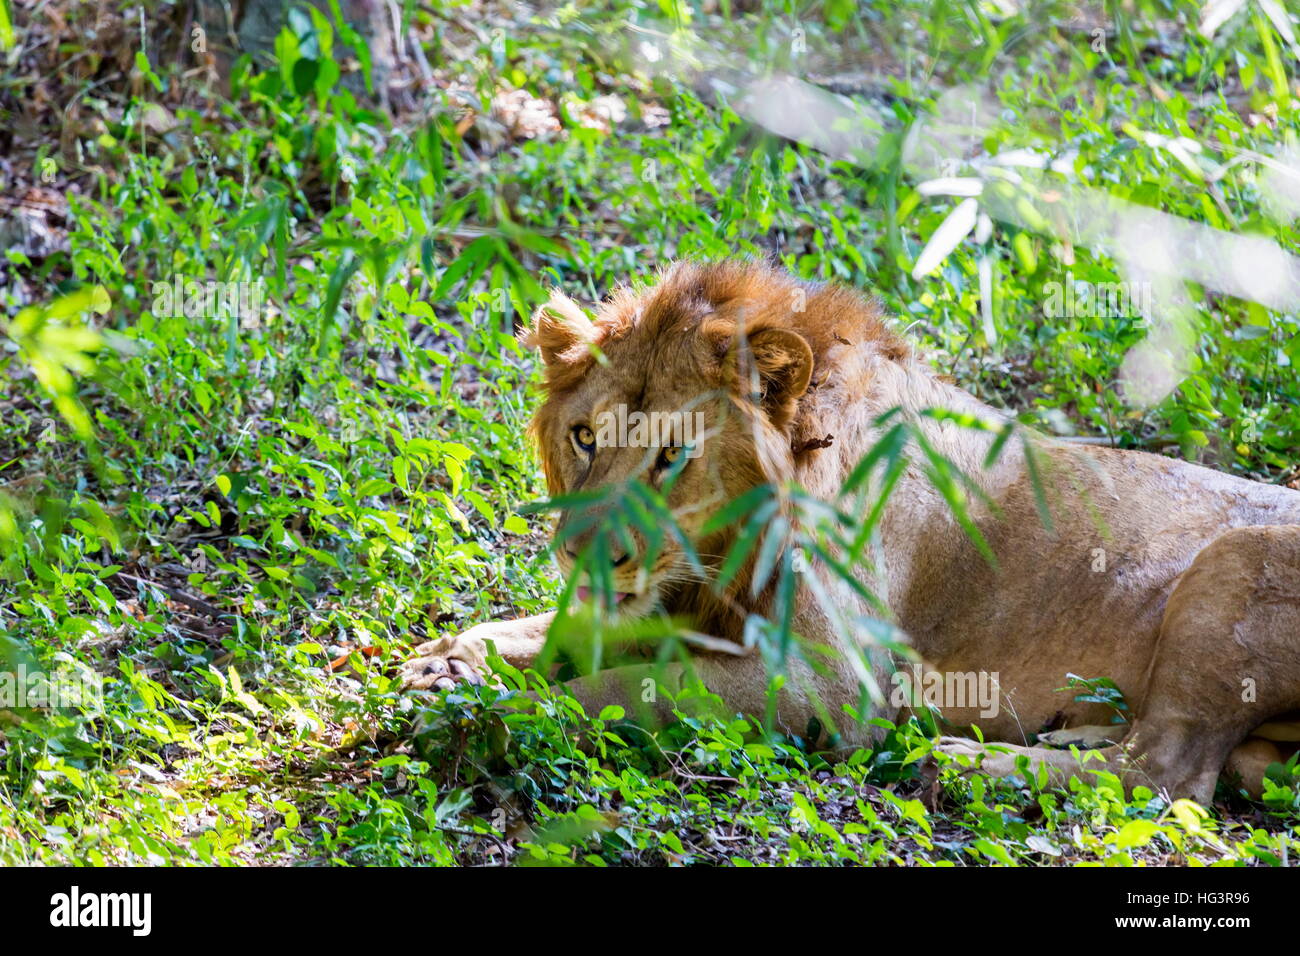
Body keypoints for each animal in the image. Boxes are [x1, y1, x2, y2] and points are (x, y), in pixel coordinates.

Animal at [403, 260, 1300, 804]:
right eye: (586, 437)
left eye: (673, 455)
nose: (585, 555)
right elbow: (552, 634)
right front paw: (451, 660)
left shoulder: (828, 684)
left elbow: (615, 688)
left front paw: (485, 710)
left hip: (1234, 565)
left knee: (1166, 772)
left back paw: (960, 760)